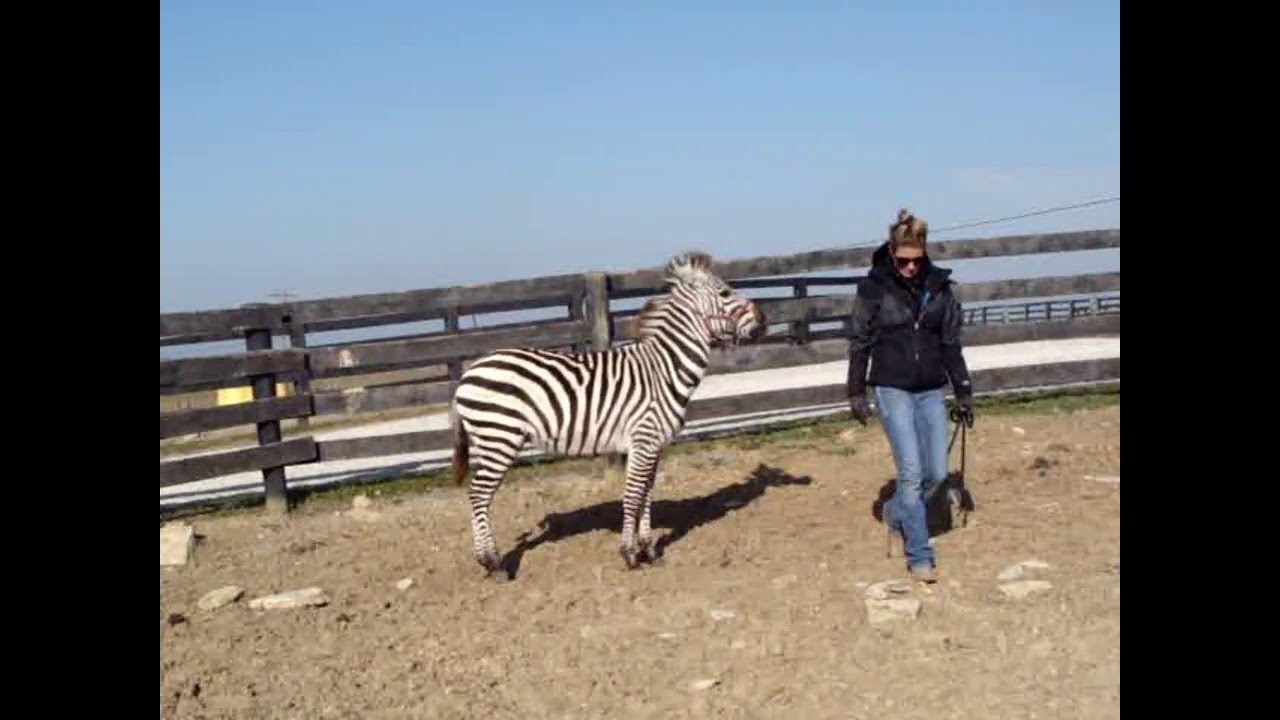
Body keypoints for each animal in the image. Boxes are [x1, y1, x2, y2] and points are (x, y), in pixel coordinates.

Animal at [449, 252, 768, 579]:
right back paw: (494, 564)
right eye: (725, 293)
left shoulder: (653, 445)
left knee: (480, 496)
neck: (664, 369)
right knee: (478, 495)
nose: (764, 320)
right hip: (498, 438)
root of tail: (470, 371)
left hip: (491, 440)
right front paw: (629, 554)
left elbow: (647, 494)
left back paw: (490, 563)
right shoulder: (643, 440)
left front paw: (648, 550)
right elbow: (633, 496)